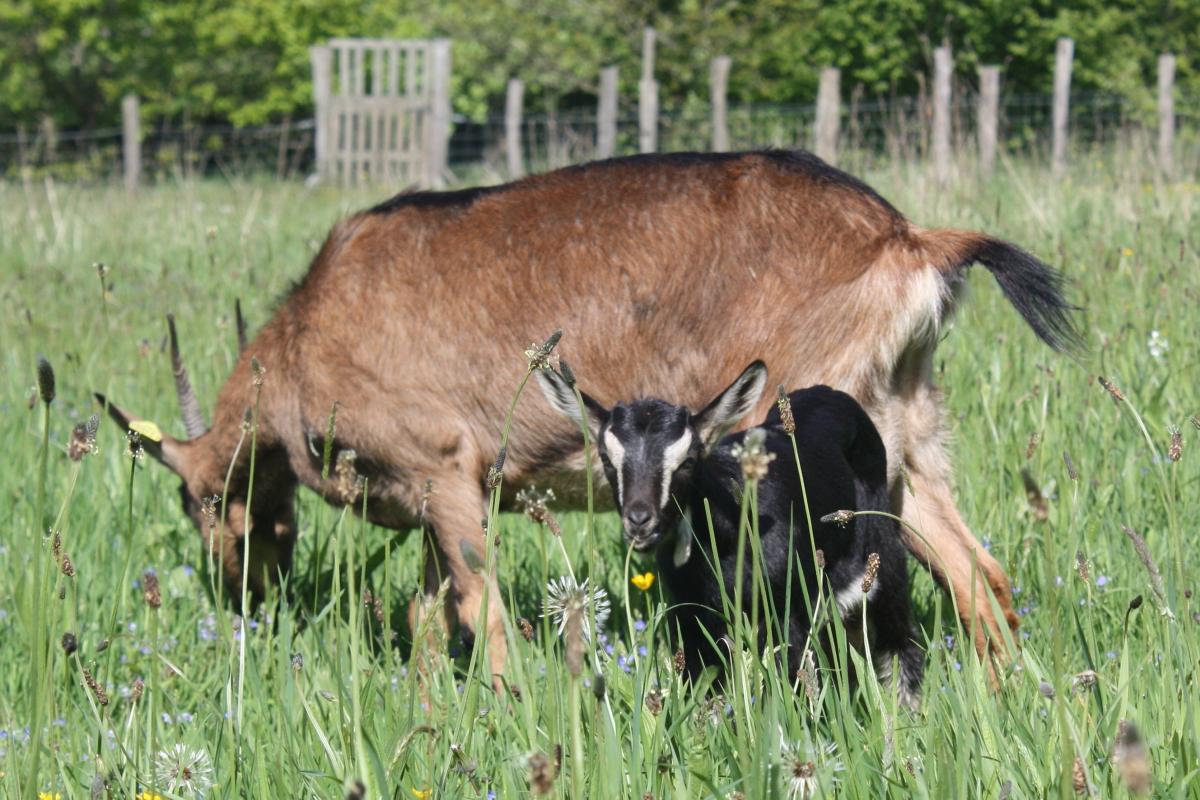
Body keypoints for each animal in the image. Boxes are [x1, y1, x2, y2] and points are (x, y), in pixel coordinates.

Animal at [537, 361, 924, 703]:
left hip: (881, 557)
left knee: (900, 638)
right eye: (606, 459)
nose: (640, 519)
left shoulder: (788, 610)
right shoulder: (691, 617)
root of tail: (830, 394)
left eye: (688, 461)